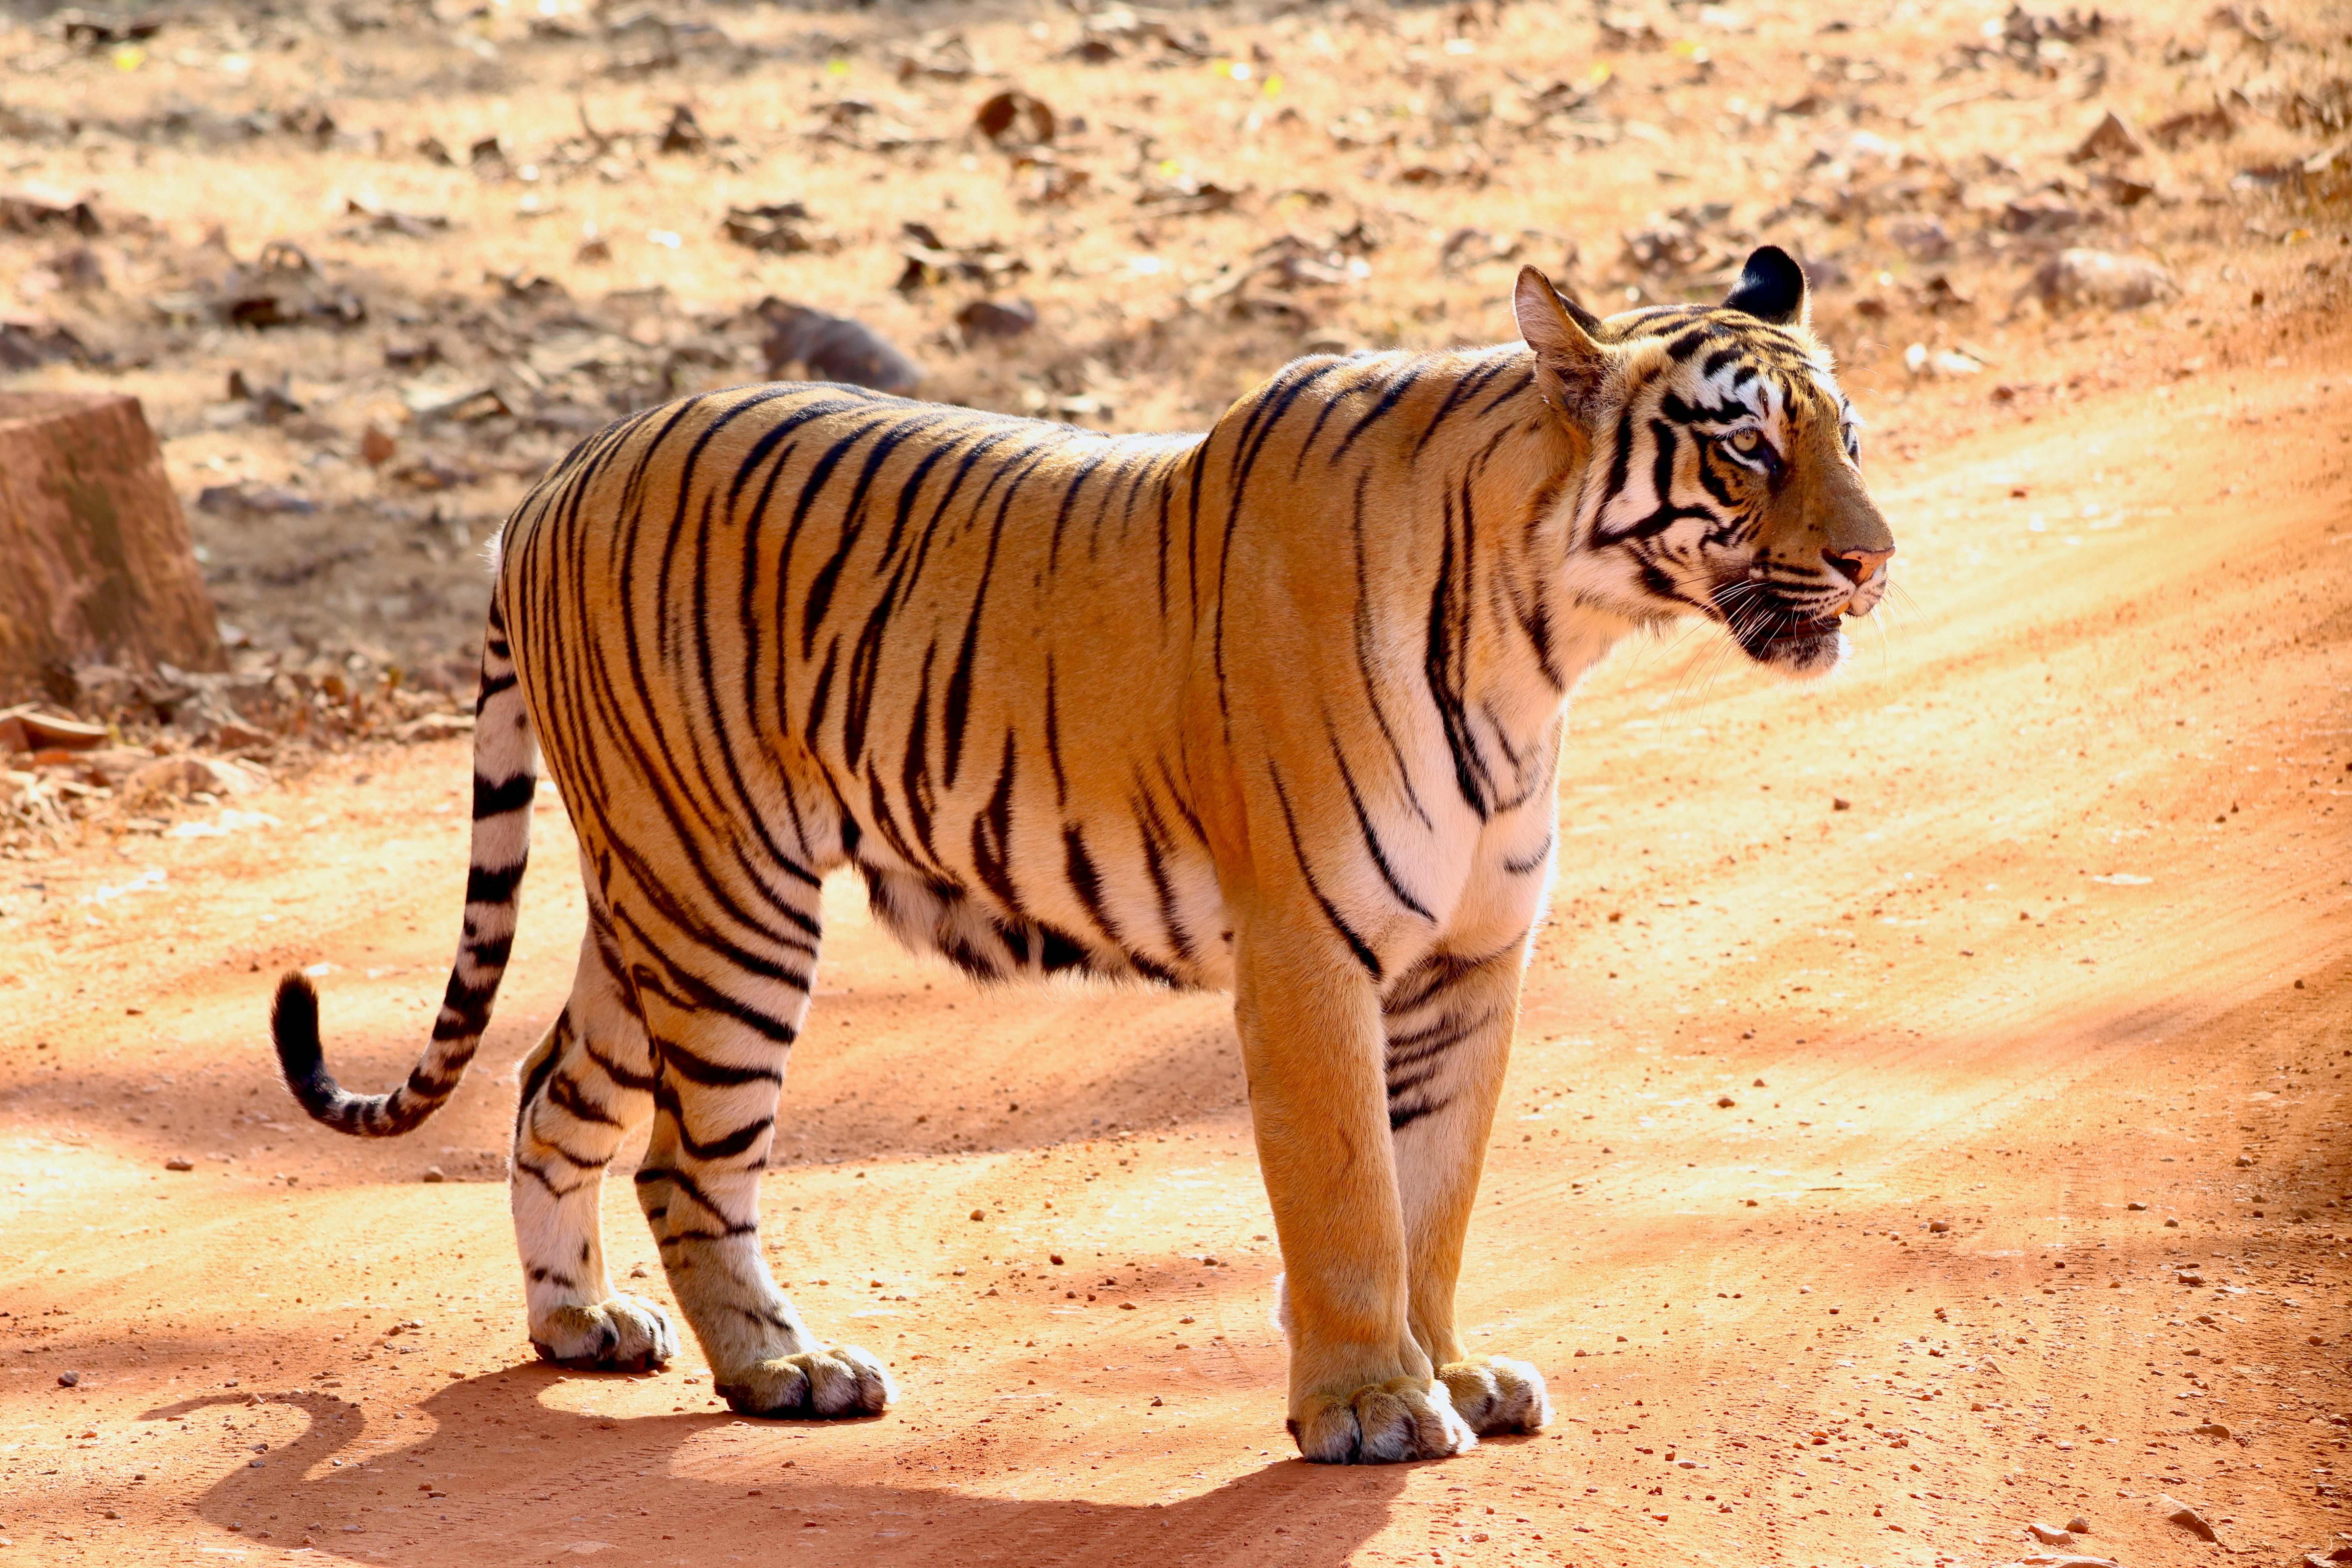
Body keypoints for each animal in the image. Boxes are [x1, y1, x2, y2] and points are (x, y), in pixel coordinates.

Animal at [272, 246, 1894, 1464]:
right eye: (1745, 443)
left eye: (1845, 437)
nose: (1875, 559)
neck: (1545, 631)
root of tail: (555, 475)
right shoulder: (1310, 956)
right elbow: (1353, 1197)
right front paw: (1369, 1404)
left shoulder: (1470, 961)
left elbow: (1437, 1192)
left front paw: (1451, 1368)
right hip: (726, 899)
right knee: (687, 1153)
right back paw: (786, 1367)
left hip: (657, 890)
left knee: (551, 1086)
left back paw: (582, 1324)